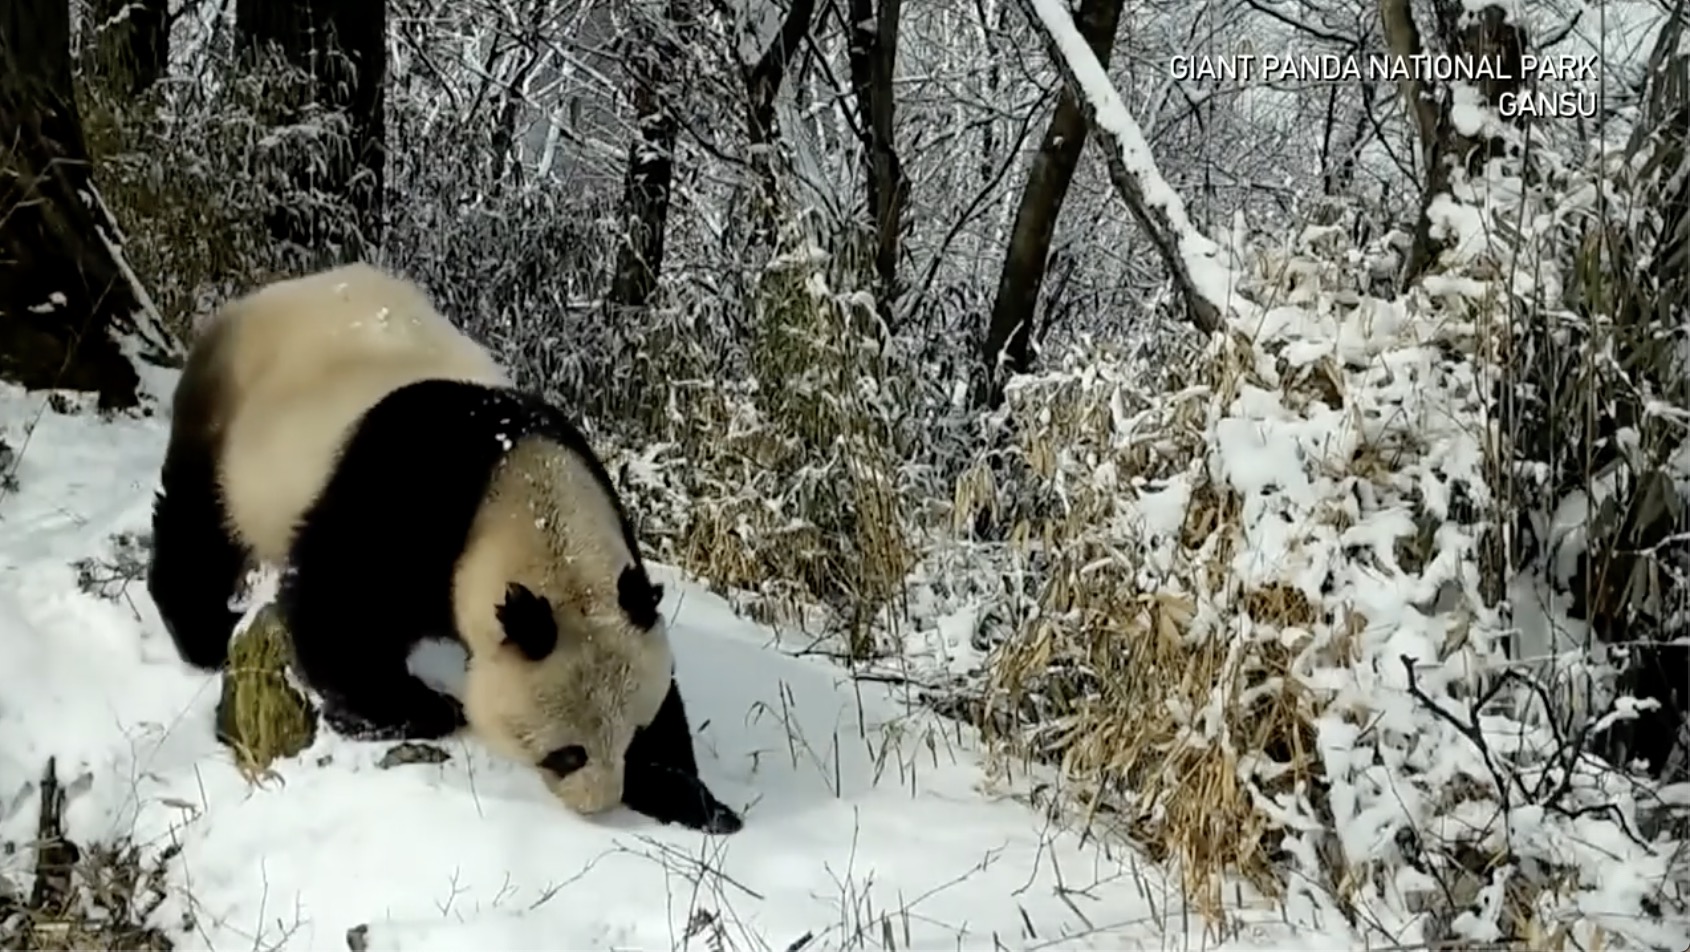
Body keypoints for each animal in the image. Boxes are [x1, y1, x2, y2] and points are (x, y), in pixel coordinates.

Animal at [146, 263, 741, 835]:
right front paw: (426, 708)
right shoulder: (406, 497)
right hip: (233, 428)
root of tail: (273, 292)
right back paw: (204, 635)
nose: (598, 805)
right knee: (196, 524)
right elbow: (341, 607)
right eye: (567, 754)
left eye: (631, 738)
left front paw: (697, 802)